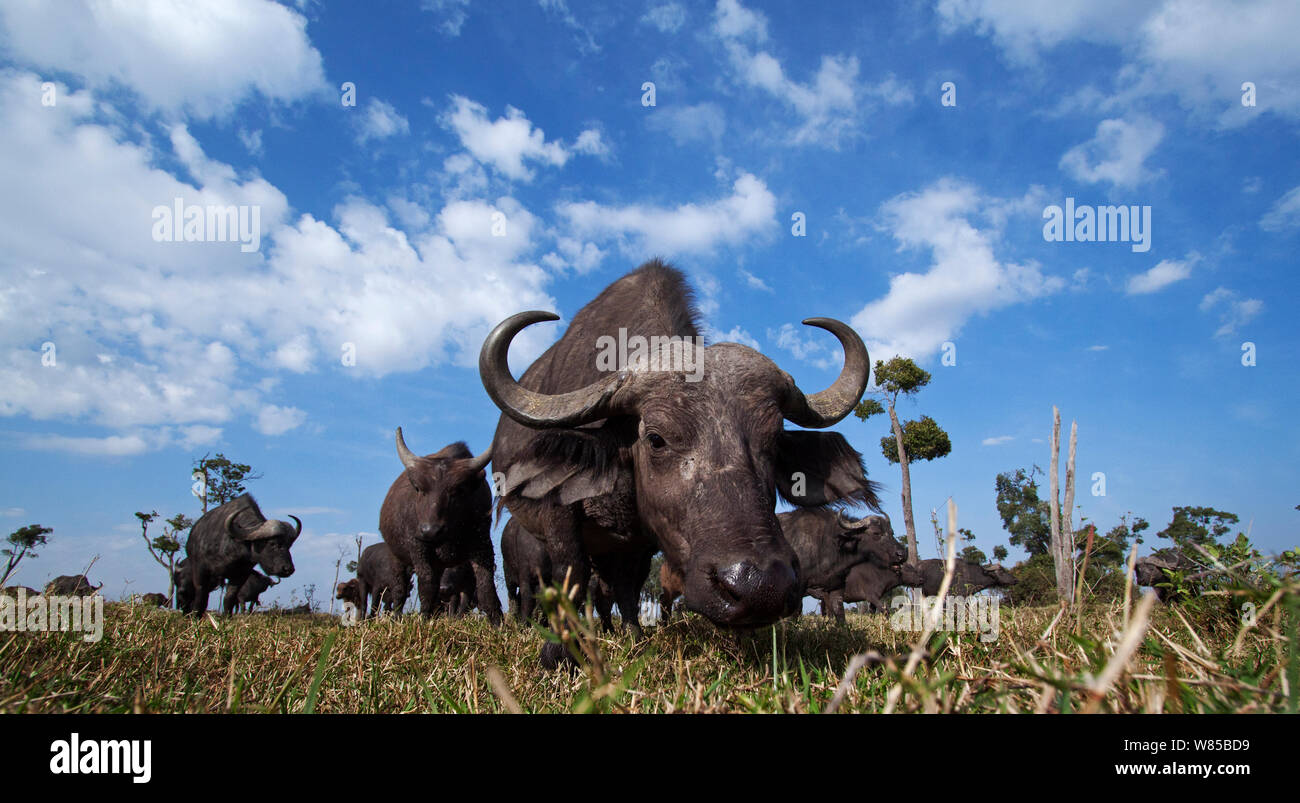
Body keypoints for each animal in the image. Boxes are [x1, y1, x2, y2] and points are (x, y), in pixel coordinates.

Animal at [379, 429, 502, 623]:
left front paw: (498, 622)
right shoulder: (418, 547)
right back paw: (397, 617)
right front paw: (424, 618)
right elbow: (426, 584)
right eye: (419, 488)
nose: (430, 531)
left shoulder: (482, 544)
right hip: (396, 556)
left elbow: (486, 585)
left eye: (458, 490)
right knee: (400, 589)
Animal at [482, 260, 880, 665]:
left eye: (772, 442)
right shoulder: (558, 515)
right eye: (656, 439)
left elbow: (628, 590)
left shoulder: (640, 543)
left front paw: (635, 637)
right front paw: (558, 650)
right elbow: (571, 574)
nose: (761, 587)